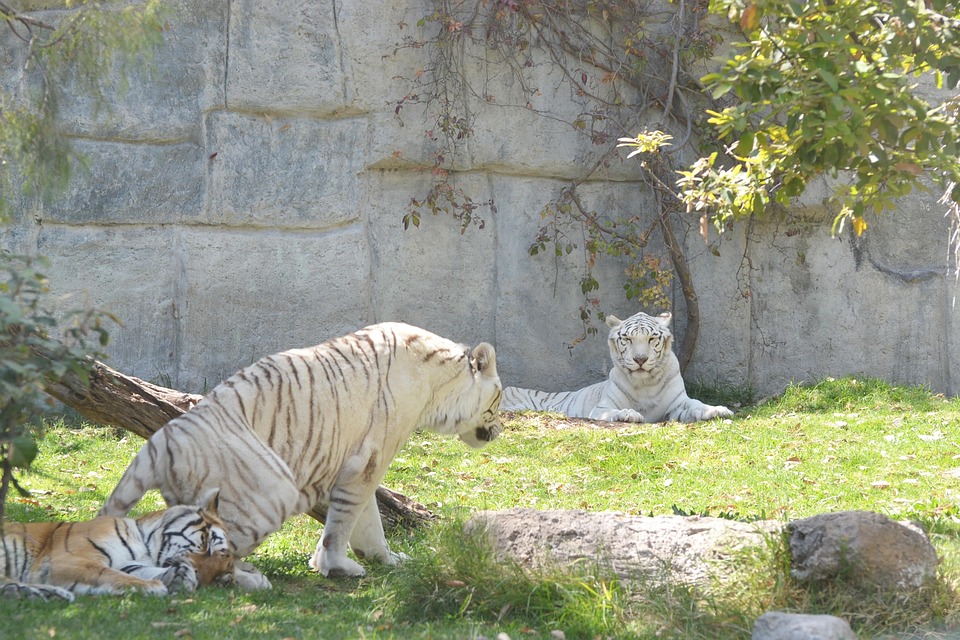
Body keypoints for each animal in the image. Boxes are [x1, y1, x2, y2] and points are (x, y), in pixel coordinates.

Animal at [1, 488, 234, 602]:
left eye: (219, 579)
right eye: (207, 545)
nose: (200, 579)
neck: (144, 545)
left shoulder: (129, 564)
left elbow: (138, 572)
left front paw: (180, 577)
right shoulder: (65, 559)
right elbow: (105, 573)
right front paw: (154, 587)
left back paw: (39, 594)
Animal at [98, 322, 503, 589]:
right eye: (498, 399)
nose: (498, 431)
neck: (438, 381)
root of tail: (163, 441)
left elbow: (366, 519)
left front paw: (384, 559)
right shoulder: (368, 461)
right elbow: (346, 521)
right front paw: (338, 566)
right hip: (272, 490)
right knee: (208, 557)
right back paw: (251, 579)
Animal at [502, 311, 733, 424]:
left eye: (651, 339)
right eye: (628, 339)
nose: (640, 359)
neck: (646, 383)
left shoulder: (678, 405)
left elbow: (697, 404)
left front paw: (717, 410)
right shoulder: (602, 408)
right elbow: (615, 410)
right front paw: (629, 414)